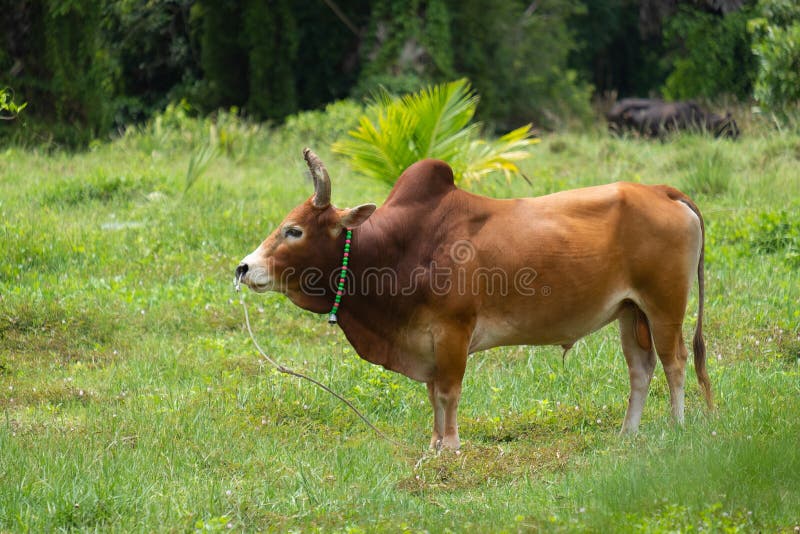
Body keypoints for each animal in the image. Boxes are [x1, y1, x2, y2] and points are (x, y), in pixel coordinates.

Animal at [236, 148, 714, 450]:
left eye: (294, 230)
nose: (244, 268)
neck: (397, 248)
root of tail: (662, 190)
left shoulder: (453, 332)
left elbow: (448, 392)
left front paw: (450, 445)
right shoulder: (426, 341)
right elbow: (432, 394)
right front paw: (433, 444)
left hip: (664, 306)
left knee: (674, 363)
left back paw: (677, 426)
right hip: (630, 311)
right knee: (641, 369)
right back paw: (628, 433)